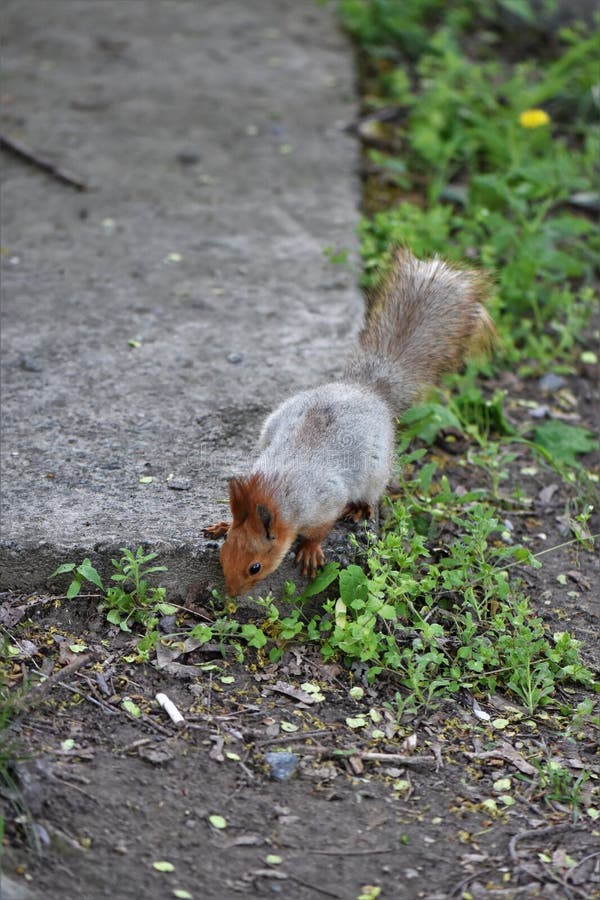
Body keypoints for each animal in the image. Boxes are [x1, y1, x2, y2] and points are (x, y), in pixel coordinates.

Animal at [203, 248, 495, 597]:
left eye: (255, 567)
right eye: (224, 554)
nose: (231, 594)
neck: (278, 493)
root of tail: (367, 389)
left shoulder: (326, 500)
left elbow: (320, 530)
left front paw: (310, 551)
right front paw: (224, 524)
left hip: (376, 470)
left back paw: (360, 509)